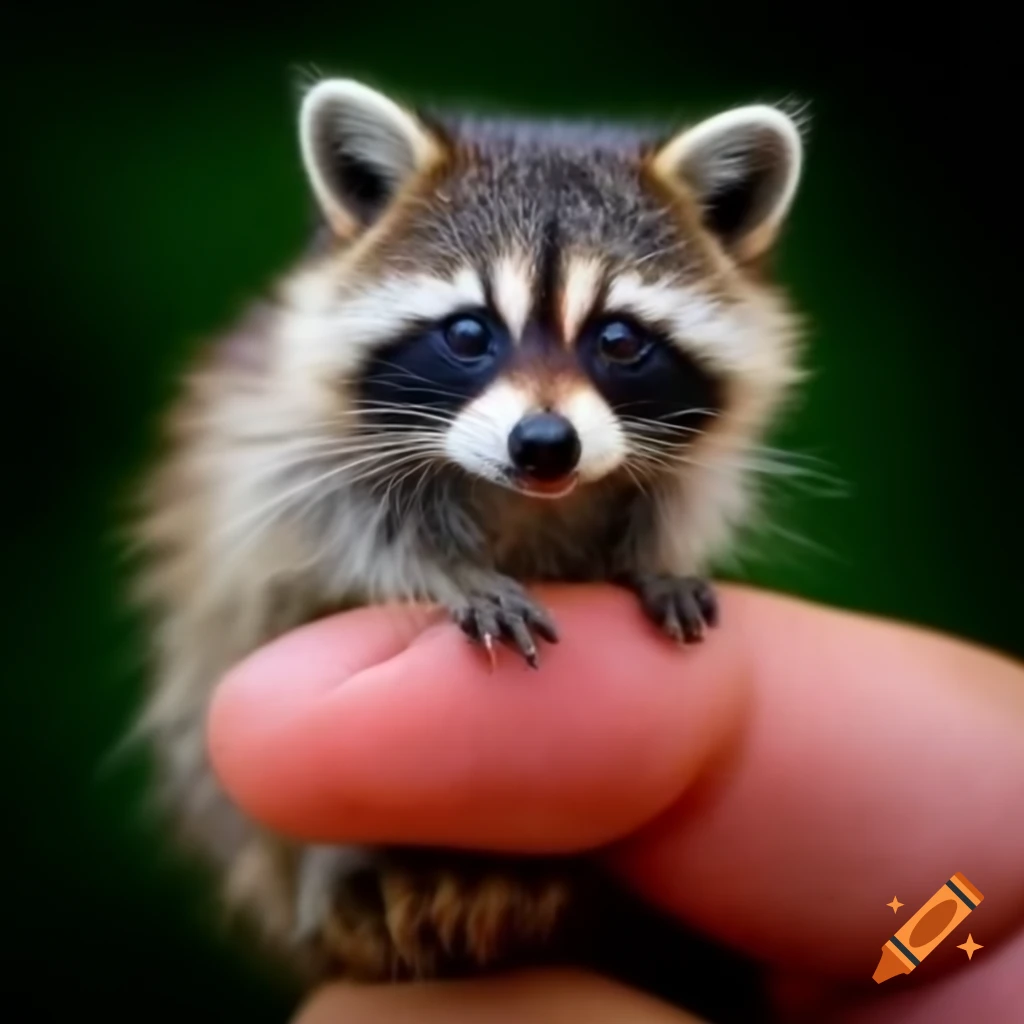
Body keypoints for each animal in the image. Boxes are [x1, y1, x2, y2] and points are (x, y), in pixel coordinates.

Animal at [130, 77, 806, 984]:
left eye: (619, 339)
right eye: (467, 333)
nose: (545, 444)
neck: (530, 498)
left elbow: (666, 503)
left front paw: (651, 560)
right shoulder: (281, 441)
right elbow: (346, 532)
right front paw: (450, 573)